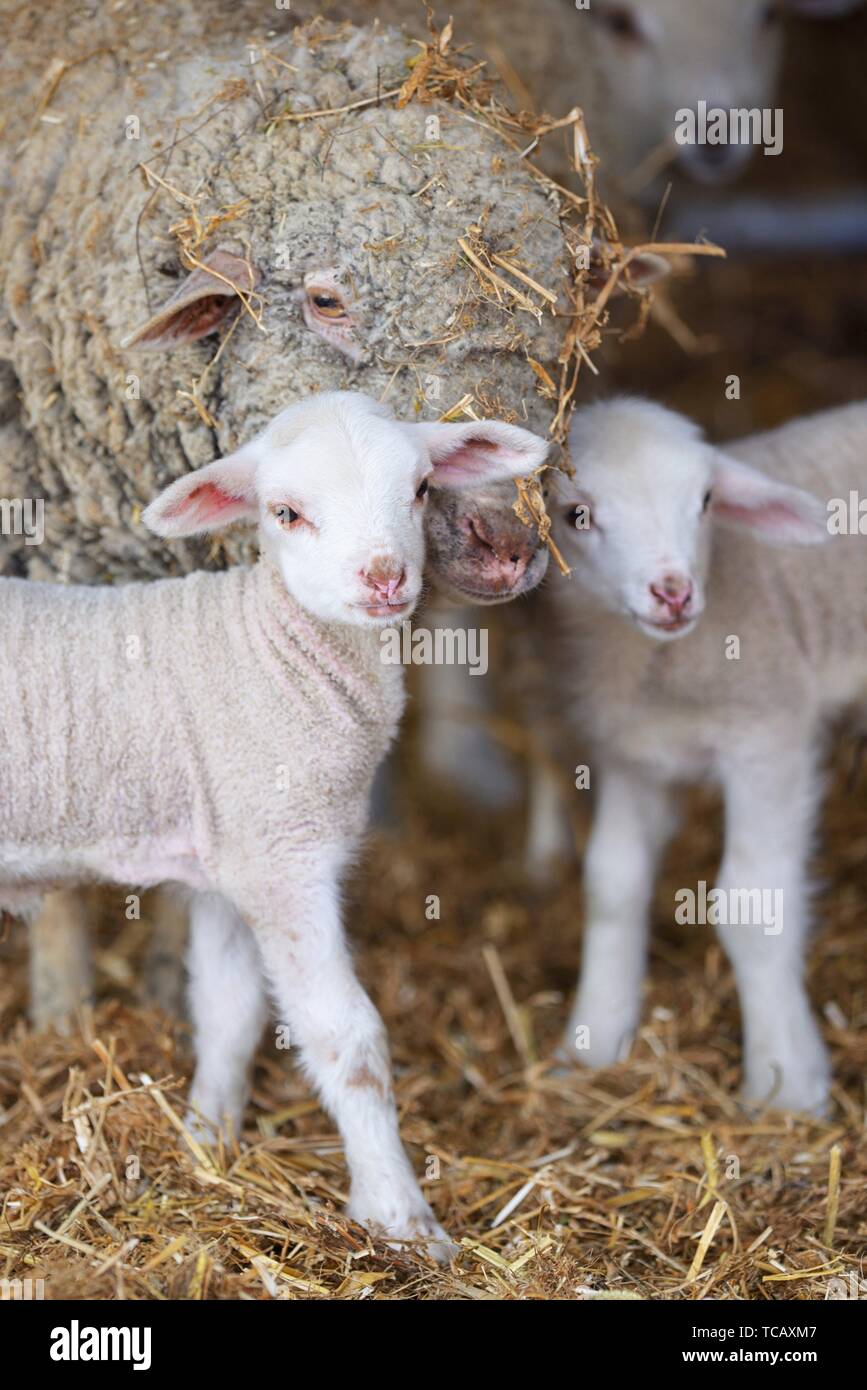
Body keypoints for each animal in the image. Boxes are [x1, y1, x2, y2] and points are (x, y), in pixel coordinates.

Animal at [0, 389, 550, 1255]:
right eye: (286, 513)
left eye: (422, 488)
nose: (384, 577)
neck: (269, 649)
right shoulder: (284, 860)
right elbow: (345, 1038)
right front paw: (401, 1220)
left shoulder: (236, 857)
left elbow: (230, 1012)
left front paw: (205, 1144)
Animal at [532, 397, 867, 1115]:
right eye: (577, 515)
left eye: (706, 500)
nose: (673, 592)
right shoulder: (633, 753)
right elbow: (612, 883)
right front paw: (588, 1046)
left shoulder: (767, 736)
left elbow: (749, 904)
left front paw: (784, 1086)